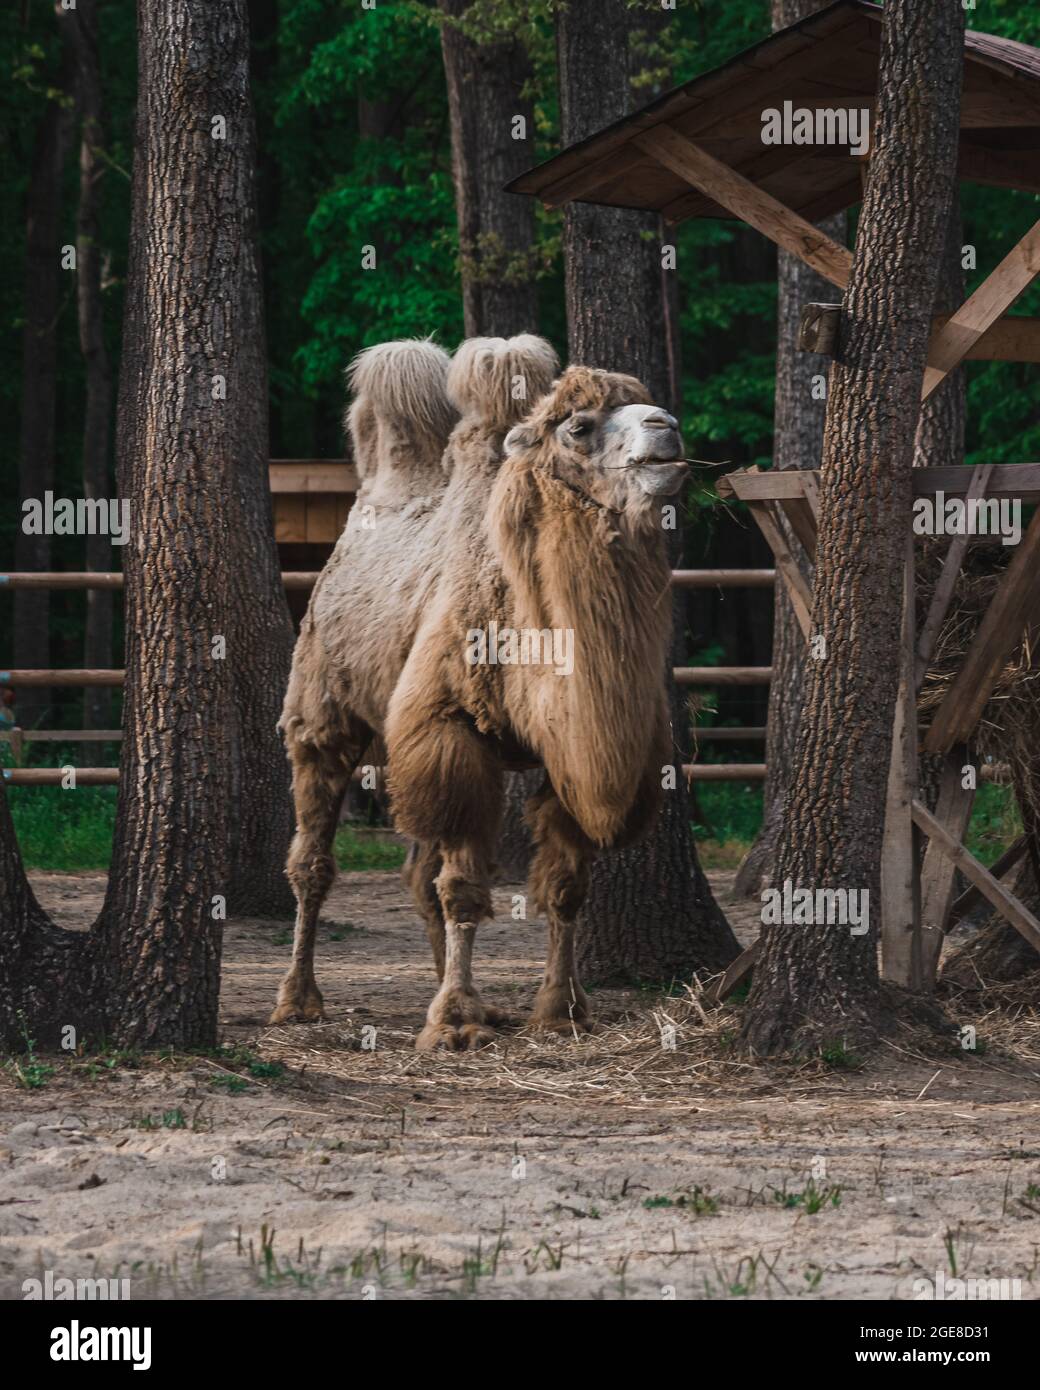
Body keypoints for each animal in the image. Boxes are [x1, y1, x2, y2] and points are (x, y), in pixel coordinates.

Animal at [271, 333, 688, 1049]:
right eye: (578, 427)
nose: (667, 427)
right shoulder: (450, 728)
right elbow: (464, 885)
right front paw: (456, 1021)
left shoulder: (566, 750)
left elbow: (565, 885)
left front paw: (560, 1009)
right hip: (321, 715)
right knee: (314, 861)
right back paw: (299, 1001)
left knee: (416, 874)